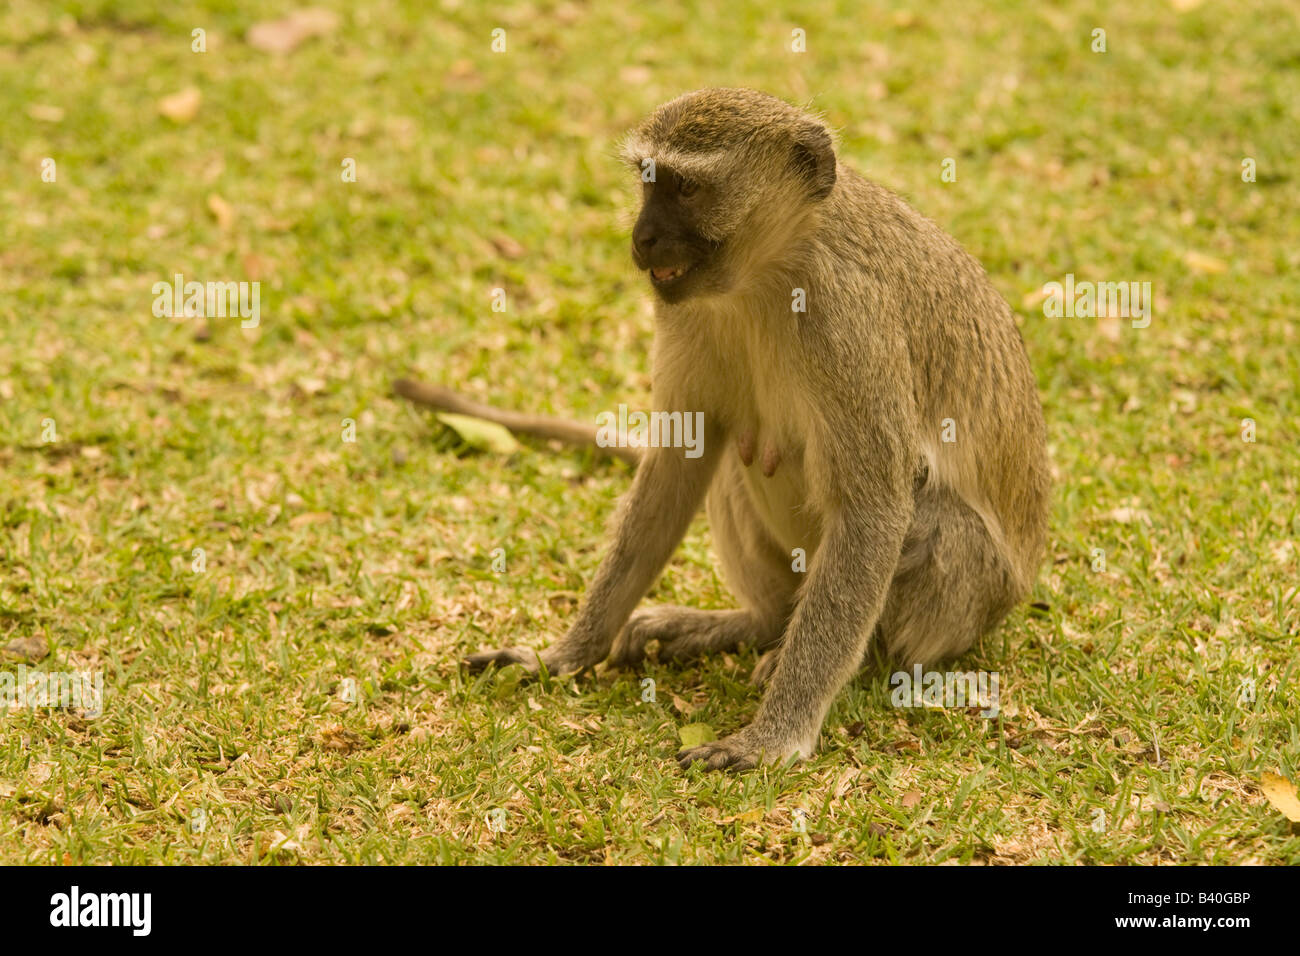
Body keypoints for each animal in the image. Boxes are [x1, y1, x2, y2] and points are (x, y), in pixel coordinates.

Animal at [412, 88, 1051, 772]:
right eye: (649, 182)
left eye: (687, 189)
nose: (642, 237)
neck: (769, 274)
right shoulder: (683, 311)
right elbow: (676, 467)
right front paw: (564, 655)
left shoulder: (849, 318)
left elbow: (874, 506)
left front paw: (774, 736)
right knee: (730, 459)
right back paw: (747, 626)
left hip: (969, 597)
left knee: (928, 516)